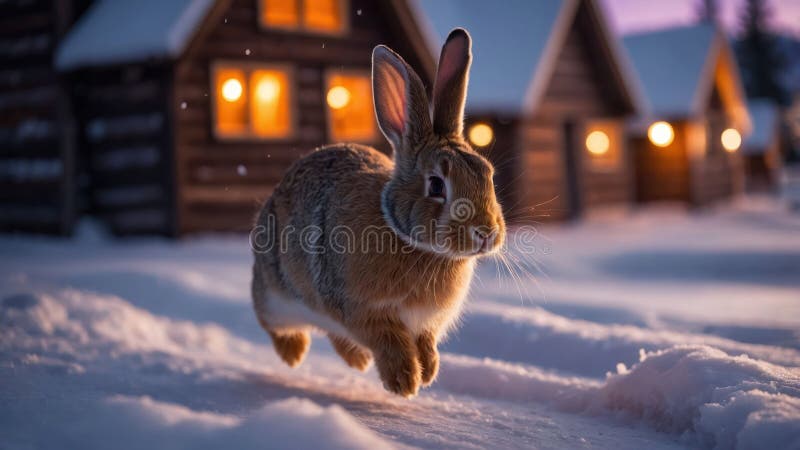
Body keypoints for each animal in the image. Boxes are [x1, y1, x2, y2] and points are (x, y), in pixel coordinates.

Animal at [251, 28, 505, 397]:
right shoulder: (360, 310)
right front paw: (404, 382)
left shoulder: (425, 324)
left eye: (488, 174)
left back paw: (357, 361)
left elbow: (424, 343)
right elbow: (389, 341)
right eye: (436, 185)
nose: (486, 232)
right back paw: (294, 354)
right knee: (269, 319)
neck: (408, 237)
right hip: (276, 297)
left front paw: (428, 372)